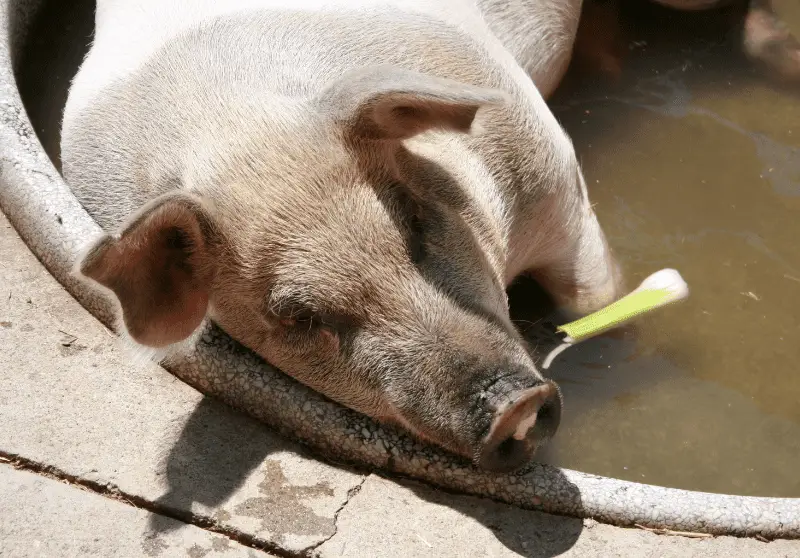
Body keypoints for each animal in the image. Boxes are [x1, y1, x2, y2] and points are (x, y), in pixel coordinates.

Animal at [62, 0, 623, 473]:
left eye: (415, 219)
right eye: (299, 318)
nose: (514, 405)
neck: (231, 126)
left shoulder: (553, 172)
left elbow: (594, 297)